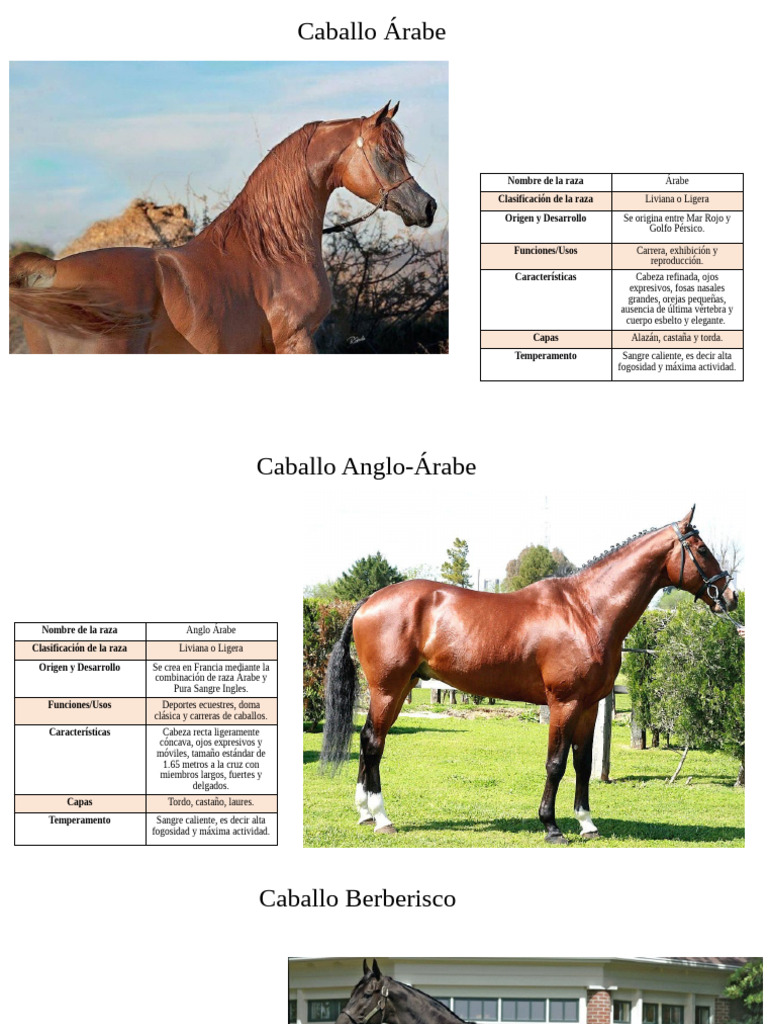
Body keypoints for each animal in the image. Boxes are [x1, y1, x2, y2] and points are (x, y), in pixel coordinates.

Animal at [321, 507, 738, 843]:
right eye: (701, 549)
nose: (730, 597)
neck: (586, 610)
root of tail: (370, 601)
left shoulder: (589, 706)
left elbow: (583, 764)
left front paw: (587, 823)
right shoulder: (564, 703)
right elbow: (556, 763)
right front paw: (551, 826)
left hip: (399, 687)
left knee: (368, 740)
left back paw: (365, 813)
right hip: (388, 689)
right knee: (374, 743)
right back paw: (382, 818)